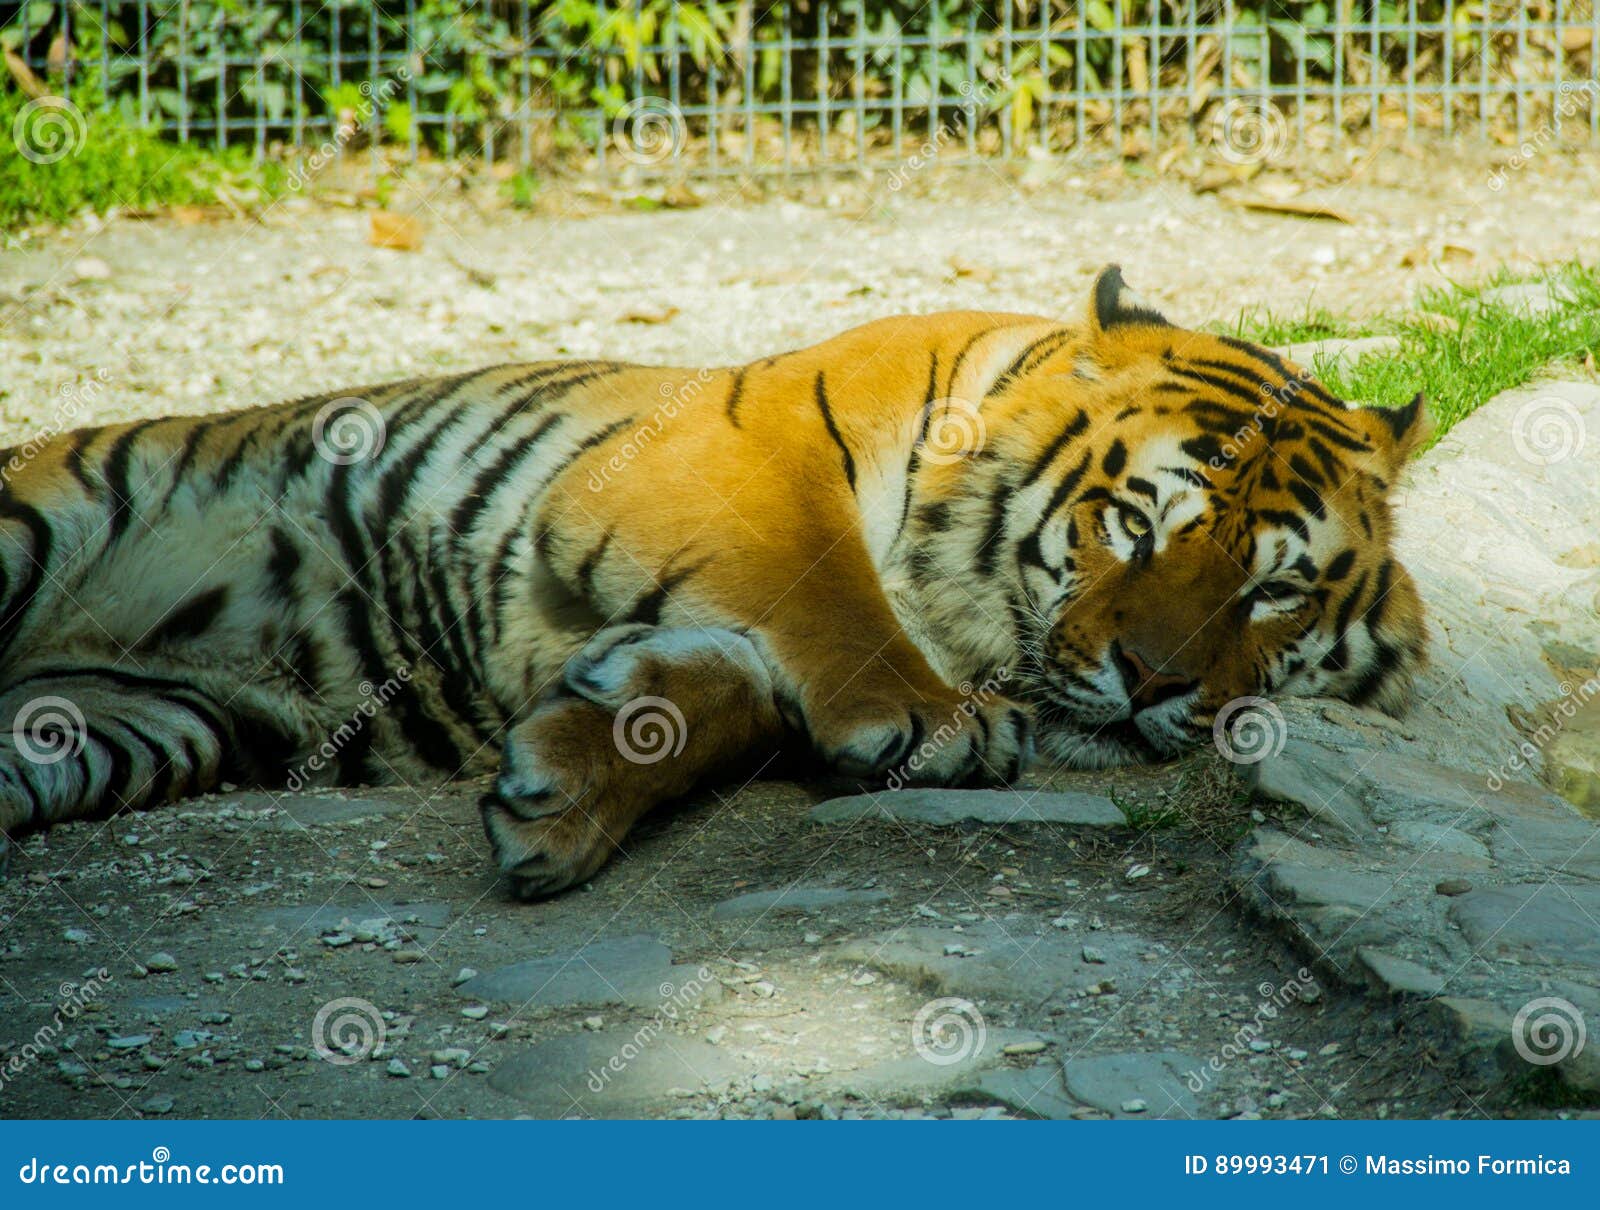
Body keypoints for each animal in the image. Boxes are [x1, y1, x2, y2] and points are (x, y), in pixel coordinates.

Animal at [0, 266, 1428, 898]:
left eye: (1274, 593)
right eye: (1135, 523)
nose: (1152, 683)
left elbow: (715, 692)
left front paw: (564, 792)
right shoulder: (741, 449)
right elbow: (820, 579)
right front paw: (929, 719)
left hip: (128, 722)